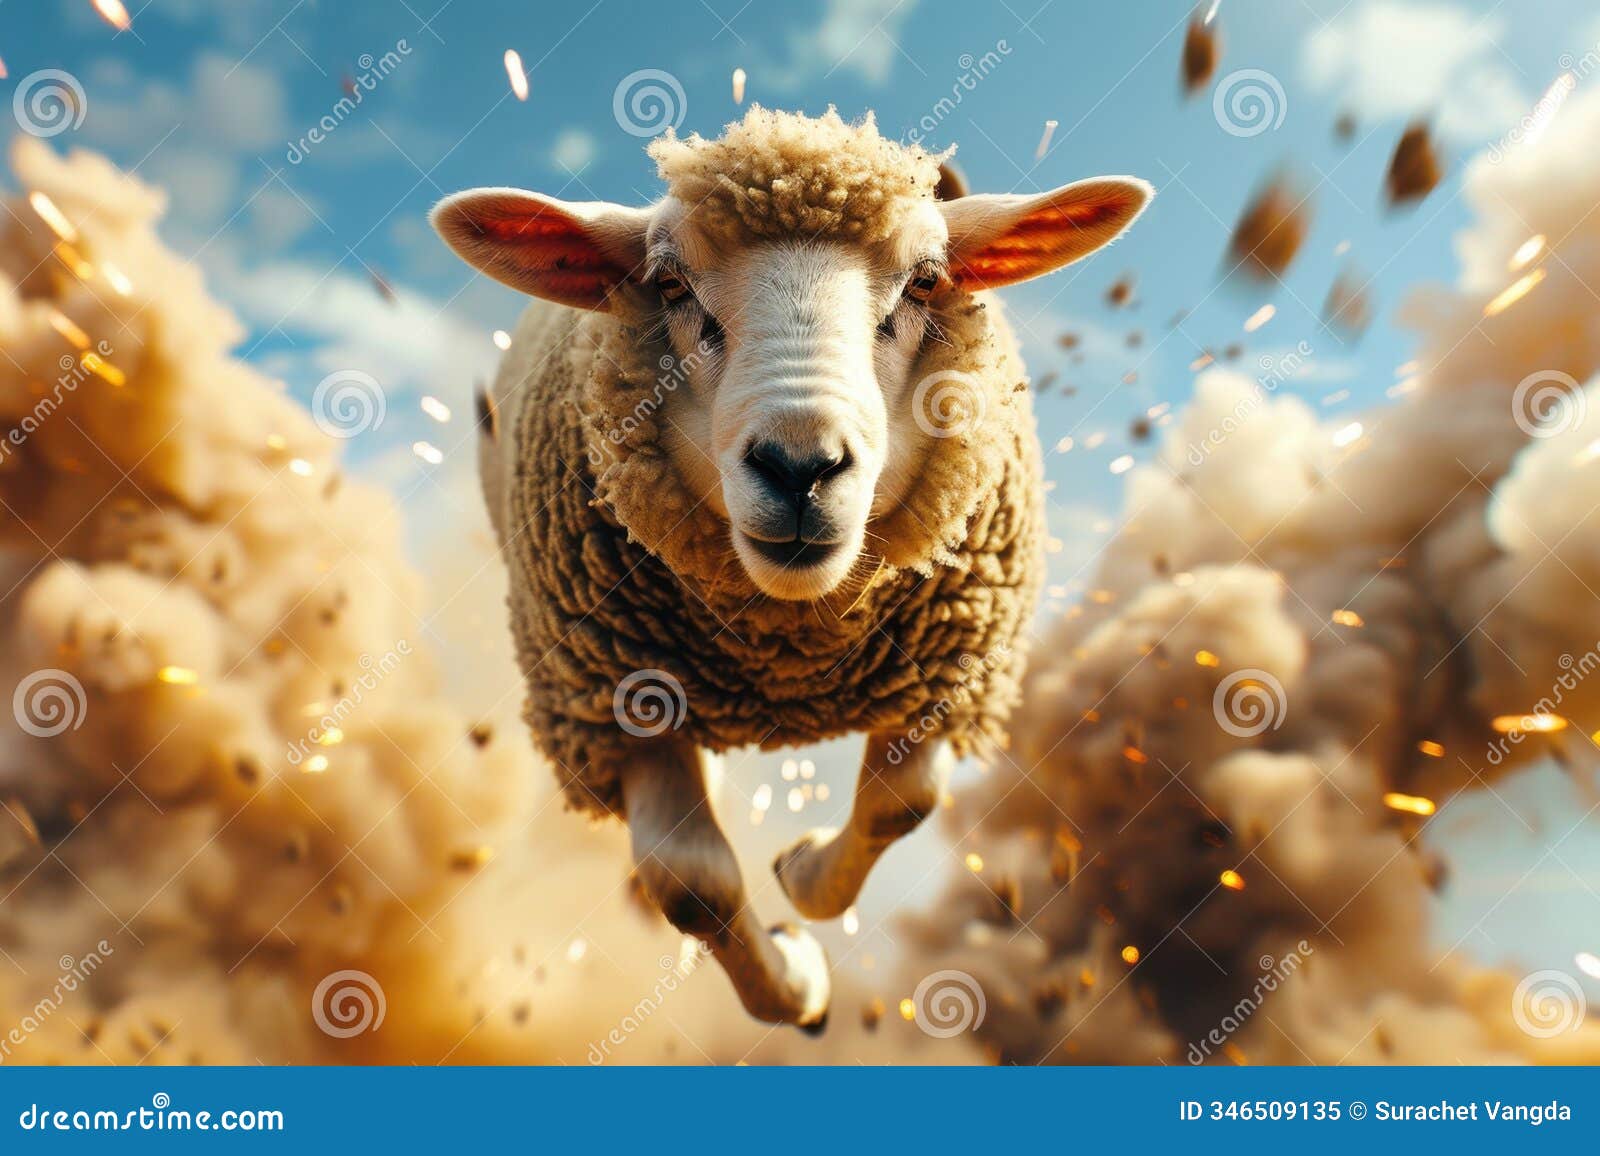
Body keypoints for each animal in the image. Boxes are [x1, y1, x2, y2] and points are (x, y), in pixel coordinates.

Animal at [432, 107, 1150, 1029]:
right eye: (669, 286)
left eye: (926, 282)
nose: (801, 468)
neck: (790, 650)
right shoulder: (612, 700)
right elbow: (691, 882)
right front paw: (800, 980)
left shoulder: (949, 667)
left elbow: (901, 803)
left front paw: (803, 872)